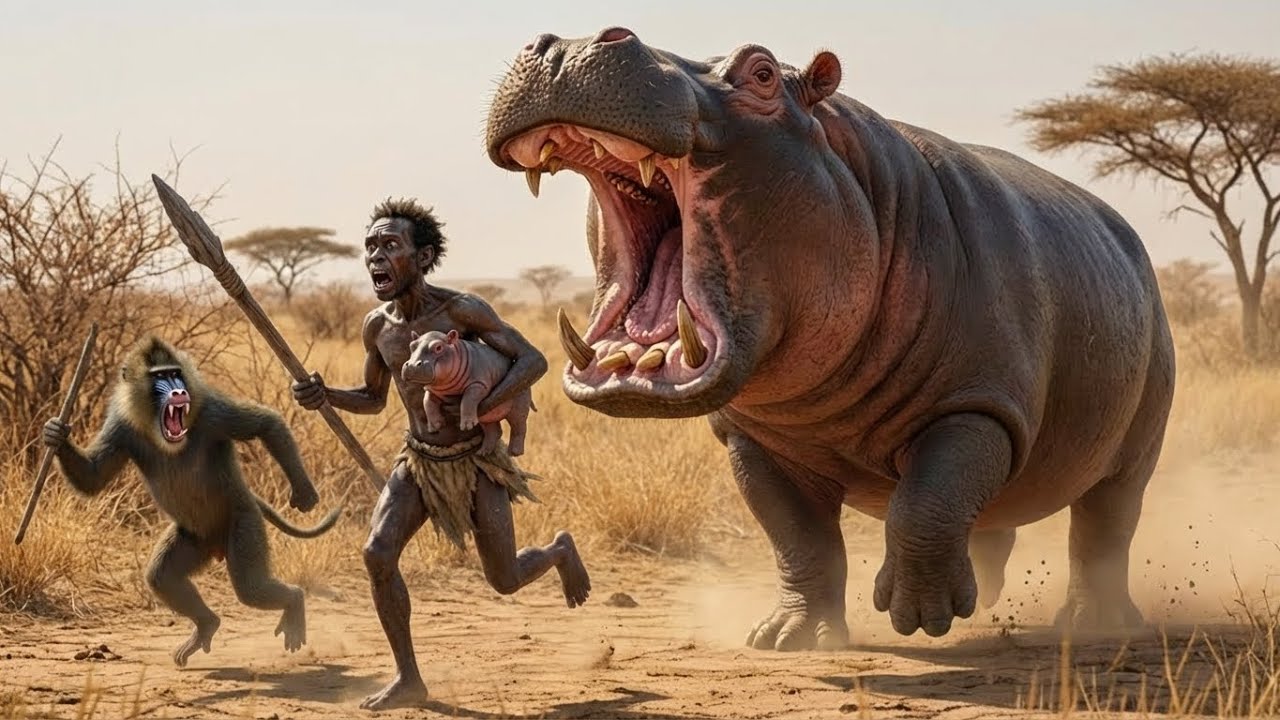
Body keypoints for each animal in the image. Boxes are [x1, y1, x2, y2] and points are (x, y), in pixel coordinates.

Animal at [401, 329, 535, 456]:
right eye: (411, 346)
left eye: (438, 347)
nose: (412, 365)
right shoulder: (432, 389)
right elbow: (427, 402)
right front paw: (435, 427)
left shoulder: (477, 384)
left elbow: (468, 399)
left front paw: (466, 426)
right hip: (486, 417)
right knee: (493, 430)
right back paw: (483, 452)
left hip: (519, 402)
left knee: (519, 426)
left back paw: (514, 452)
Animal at [483, 27, 1175, 649]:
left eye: (763, 72)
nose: (571, 45)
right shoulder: (754, 438)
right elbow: (798, 536)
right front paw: (789, 638)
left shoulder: (979, 404)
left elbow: (926, 499)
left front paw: (918, 616)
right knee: (998, 517)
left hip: (1139, 438)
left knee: (1105, 523)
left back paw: (1094, 625)